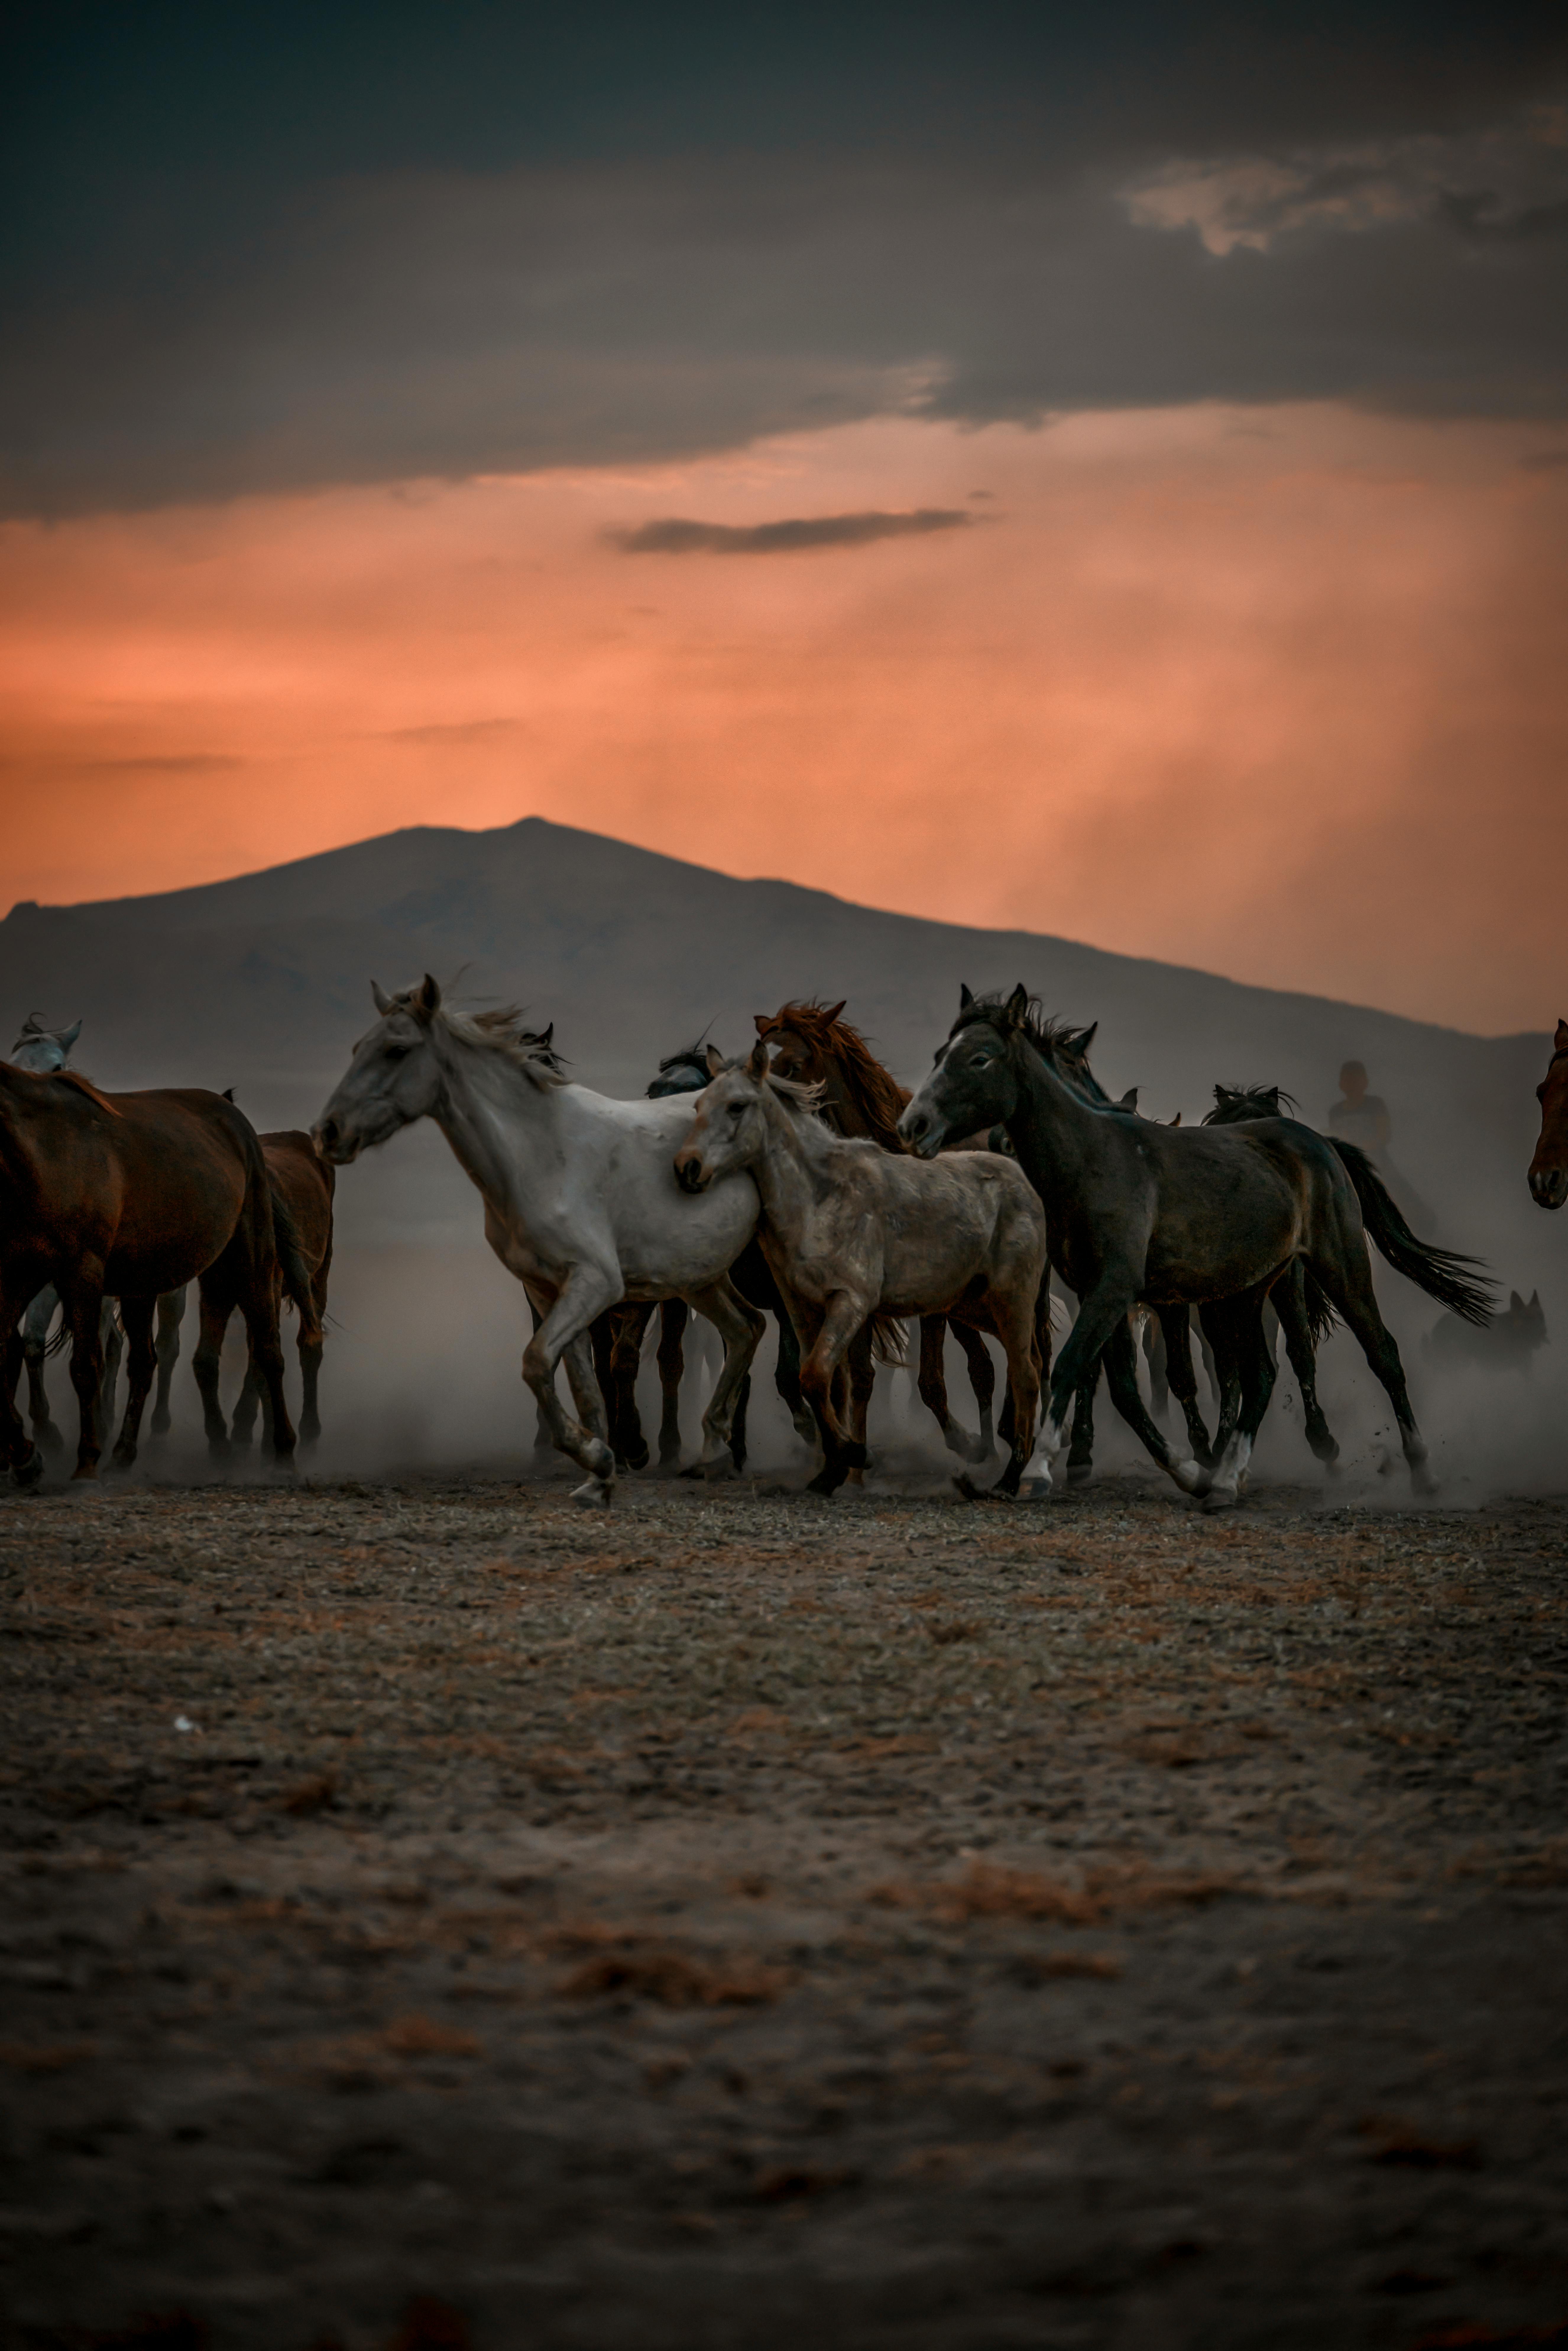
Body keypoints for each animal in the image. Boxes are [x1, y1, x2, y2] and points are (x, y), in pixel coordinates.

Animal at [0, 1065, 300, 1484]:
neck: (46, 1151)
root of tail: (237, 1121)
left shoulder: (82, 1271)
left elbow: (84, 1365)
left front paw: (85, 1460)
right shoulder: (18, 1273)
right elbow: (7, 1352)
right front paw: (27, 1457)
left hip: (251, 1258)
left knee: (269, 1350)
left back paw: (284, 1452)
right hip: (140, 1285)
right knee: (144, 1361)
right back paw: (123, 1453)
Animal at [312, 978, 764, 1506]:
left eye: (397, 1050)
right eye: (357, 1048)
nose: (328, 1132)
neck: (542, 1155)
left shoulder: (598, 1285)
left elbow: (539, 1362)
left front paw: (606, 1455)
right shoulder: (548, 1291)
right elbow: (581, 1380)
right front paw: (599, 1473)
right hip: (701, 1278)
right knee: (746, 1329)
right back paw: (715, 1449)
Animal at [674, 1043, 1047, 1499]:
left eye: (736, 1106)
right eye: (699, 1105)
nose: (688, 1168)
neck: (819, 1197)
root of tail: (1023, 1183)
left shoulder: (851, 1302)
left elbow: (816, 1377)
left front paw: (854, 1455)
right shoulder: (802, 1309)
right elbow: (827, 1384)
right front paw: (831, 1471)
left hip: (1012, 1301)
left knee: (1026, 1375)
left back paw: (1009, 1479)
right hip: (976, 1307)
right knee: (1031, 1362)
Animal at [898, 986, 1494, 1506]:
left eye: (979, 1058)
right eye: (939, 1055)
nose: (913, 1125)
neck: (1094, 1159)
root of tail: (1322, 1144)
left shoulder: (1117, 1289)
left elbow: (1074, 1366)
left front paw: (1040, 1469)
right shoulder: (1098, 1291)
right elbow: (1122, 1388)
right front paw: (1187, 1472)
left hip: (1336, 1267)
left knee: (1381, 1354)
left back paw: (1420, 1472)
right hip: (1247, 1290)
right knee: (1258, 1375)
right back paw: (1227, 1481)